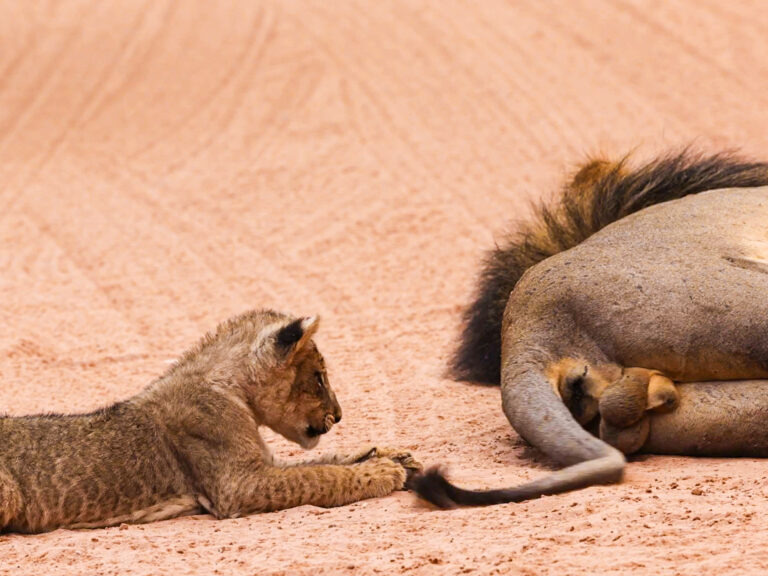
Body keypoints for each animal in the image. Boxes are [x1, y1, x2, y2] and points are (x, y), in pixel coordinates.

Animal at [0, 310, 421, 533]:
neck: (233, 390)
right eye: (319, 377)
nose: (340, 414)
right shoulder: (238, 486)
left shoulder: (261, 465)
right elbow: (319, 476)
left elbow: (323, 462)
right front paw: (383, 471)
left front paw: (393, 456)